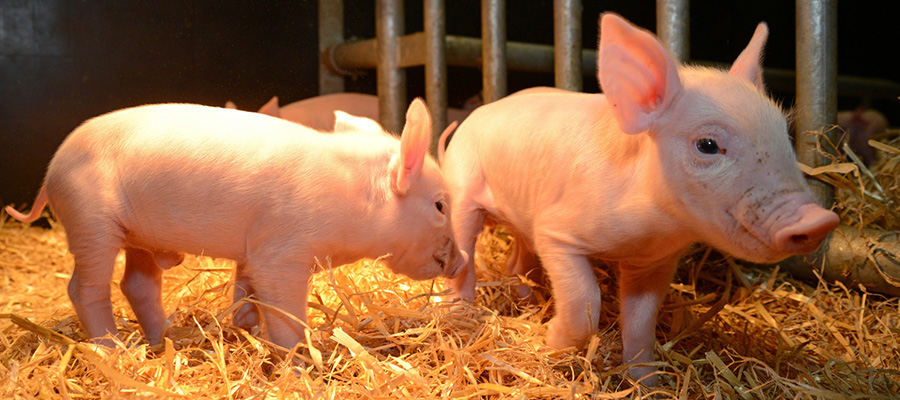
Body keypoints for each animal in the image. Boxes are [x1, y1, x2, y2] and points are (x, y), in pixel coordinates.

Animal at [4, 99, 467, 352]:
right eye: (440, 205)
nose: (461, 261)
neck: (351, 199)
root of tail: (51, 172)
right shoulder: (282, 253)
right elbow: (285, 314)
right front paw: (299, 363)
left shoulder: (254, 246)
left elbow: (246, 293)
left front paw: (245, 331)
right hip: (91, 222)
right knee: (86, 288)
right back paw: (113, 348)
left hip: (138, 236)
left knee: (136, 283)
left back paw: (165, 339)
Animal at [439, 13, 840, 385]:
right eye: (708, 144)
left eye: (785, 136)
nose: (819, 220)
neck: (654, 227)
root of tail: (477, 113)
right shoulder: (557, 233)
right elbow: (586, 298)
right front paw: (551, 341)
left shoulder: (655, 261)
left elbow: (642, 321)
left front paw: (648, 381)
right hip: (461, 190)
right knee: (464, 256)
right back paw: (461, 311)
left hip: (521, 218)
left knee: (515, 262)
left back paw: (530, 301)